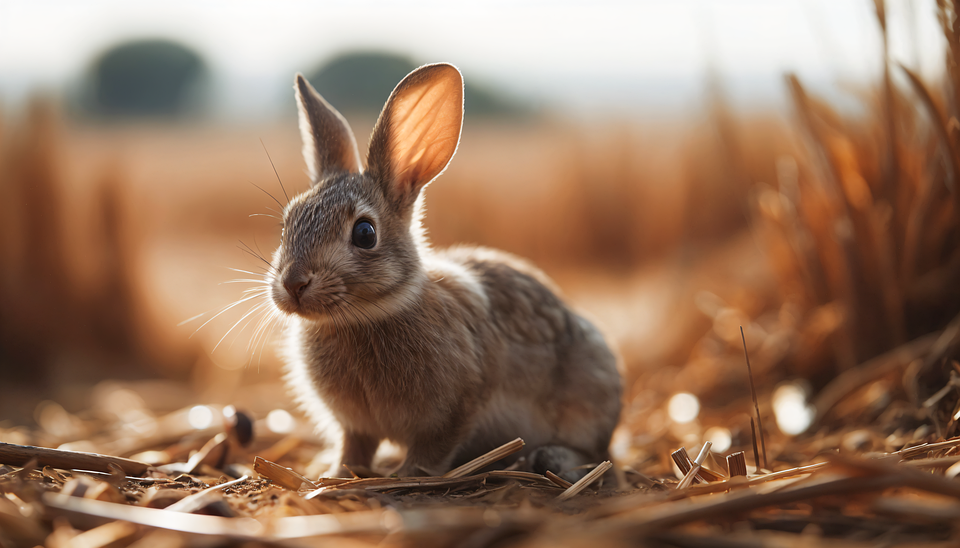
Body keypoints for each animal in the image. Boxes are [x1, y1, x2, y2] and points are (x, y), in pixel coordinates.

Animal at [268, 62, 622, 480]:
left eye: (365, 233)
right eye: (287, 224)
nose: (293, 283)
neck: (362, 317)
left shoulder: (457, 406)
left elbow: (432, 449)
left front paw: (406, 476)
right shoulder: (355, 427)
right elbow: (354, 449)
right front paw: (335, 474)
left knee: (595, 453)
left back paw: (554, 460)